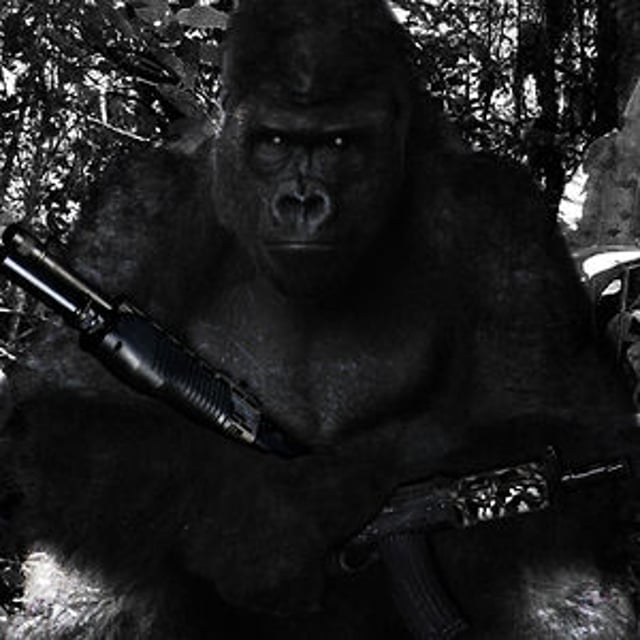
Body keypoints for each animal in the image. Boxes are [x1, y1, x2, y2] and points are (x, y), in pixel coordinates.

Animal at [1, 0, 638, 637]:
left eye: (338, 142)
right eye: (275, 140)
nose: (303, 202)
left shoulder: (499, 213)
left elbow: (565, 417)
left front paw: (320, 498)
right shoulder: (142, 201)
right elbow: (62, 408)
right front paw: (274, 515)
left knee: (556, 563)